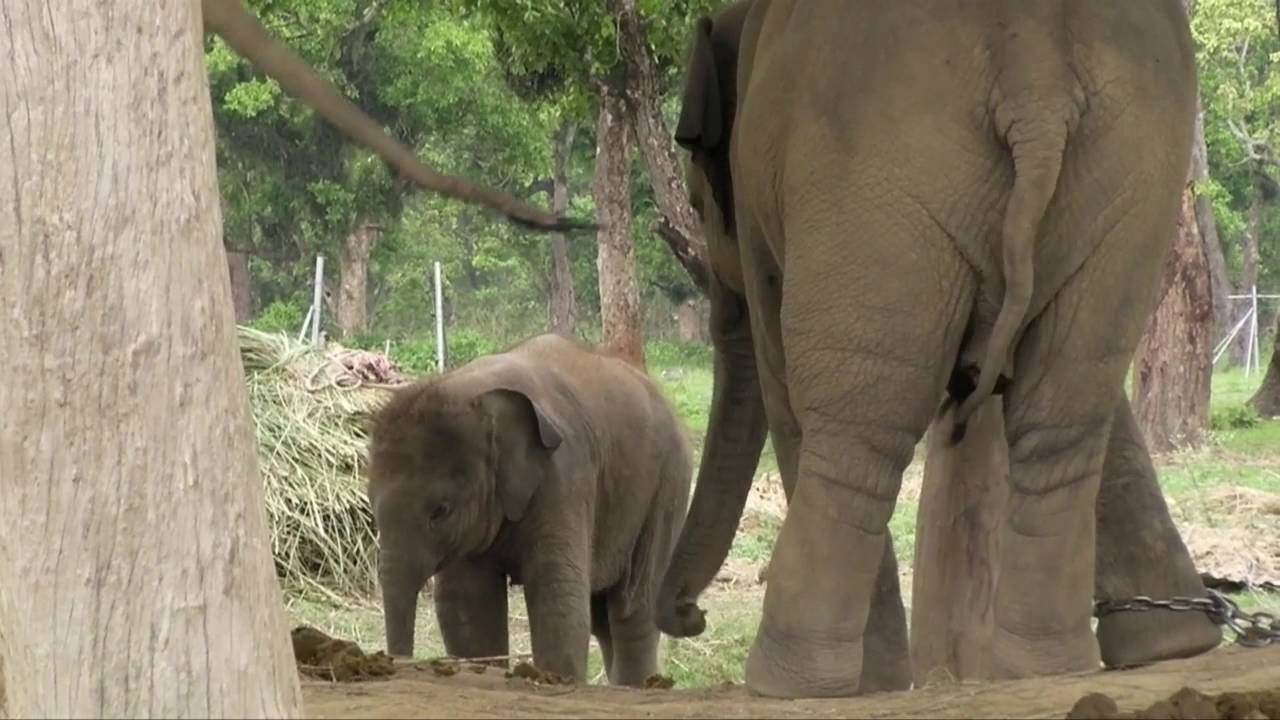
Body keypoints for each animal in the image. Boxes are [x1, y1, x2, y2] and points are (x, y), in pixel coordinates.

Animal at [364, 333, 692, 687]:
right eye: (371, 507)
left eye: (440, 511)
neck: (474, 393)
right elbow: (467, 603)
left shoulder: (564, 475)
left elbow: (557, 597)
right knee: (602, 616)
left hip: (668, 487)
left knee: (633, 606)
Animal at [657, 0, 1221, 699]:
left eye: (700, 198)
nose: (690, 616)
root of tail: (1035, 80)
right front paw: (1174, 645)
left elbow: (777, 376)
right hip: (1132, 174)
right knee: (1063, 411)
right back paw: (1044, 666)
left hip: (880, 183)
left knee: (860, 428)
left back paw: (796, 682)